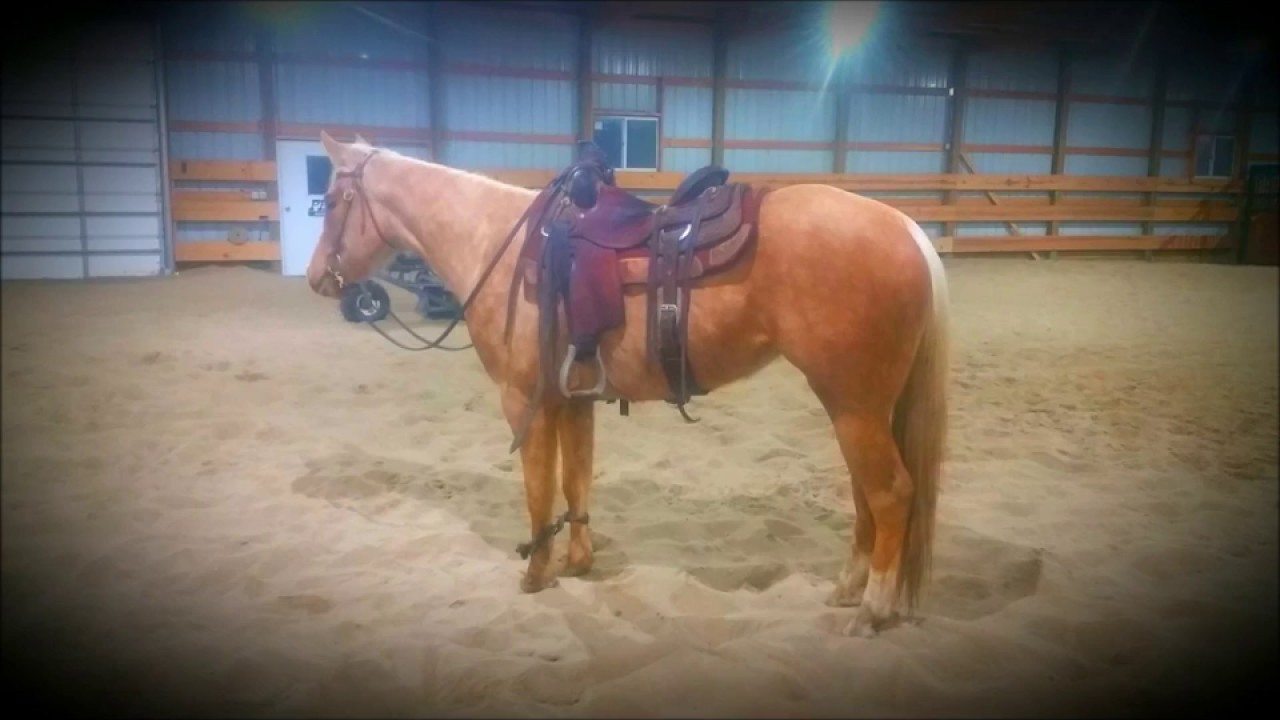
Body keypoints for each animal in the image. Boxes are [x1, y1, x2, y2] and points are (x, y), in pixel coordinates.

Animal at [305, 130, 950, 636]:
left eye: (333, 200)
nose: (316, 278)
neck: (498, 244)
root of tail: (905, 227)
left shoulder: (524, 402)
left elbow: (538, 490)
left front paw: (535, 572)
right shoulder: (572, 400)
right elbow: (575, 480)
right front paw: (577, 561)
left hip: (855, 408)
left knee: (891, 493)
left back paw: (870, 610)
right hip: (854, 407)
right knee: (867, 495)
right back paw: (847, 589)